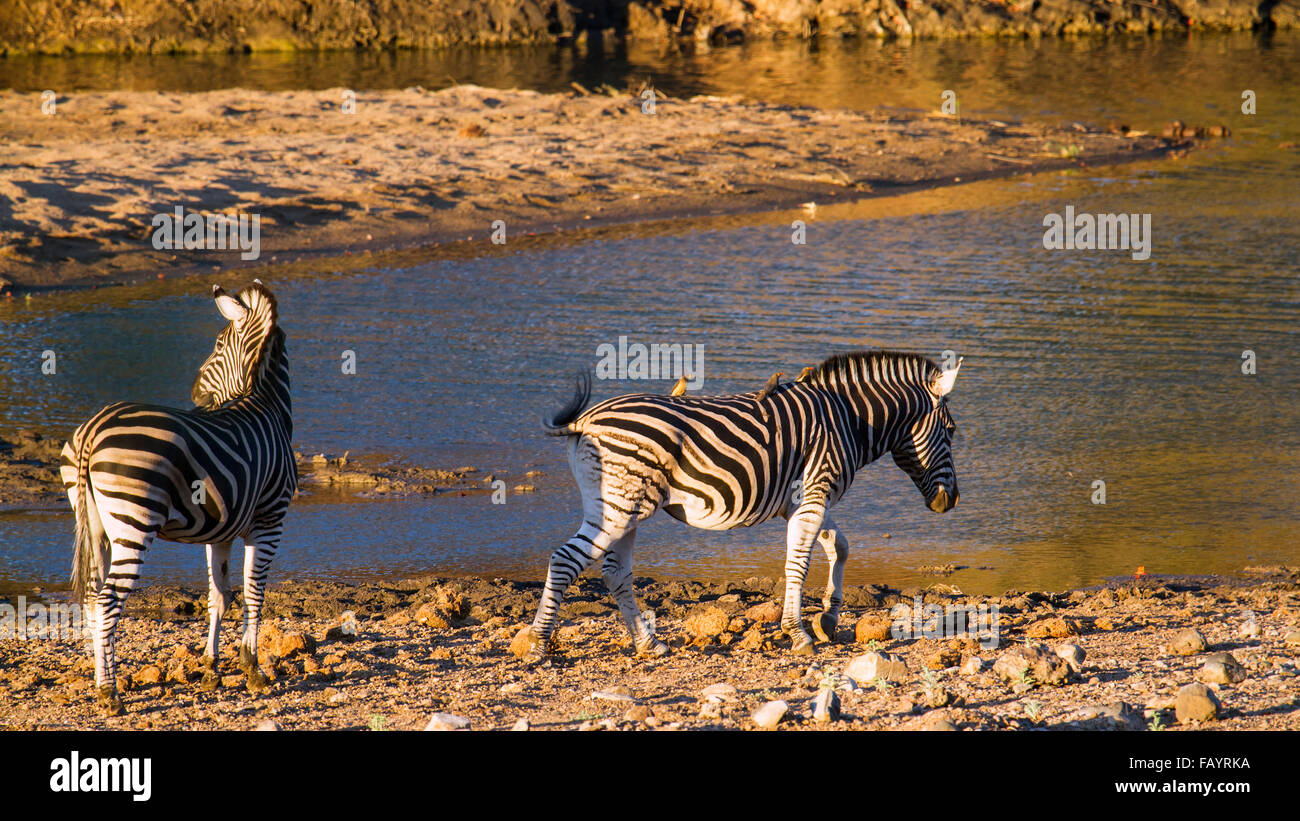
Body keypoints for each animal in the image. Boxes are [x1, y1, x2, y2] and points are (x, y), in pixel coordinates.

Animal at [59, 281, 296, 714]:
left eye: (217, 344)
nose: (195, 393)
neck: (263, 404)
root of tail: (94, 429)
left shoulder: (221, 532)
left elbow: (220, 597)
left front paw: (211, 667)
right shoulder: (270, 520)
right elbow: (255, 593)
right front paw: (253, 668)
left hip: (95, 526)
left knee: (92, 597)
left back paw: (101, 677)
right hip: (134, 524)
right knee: (107, 600)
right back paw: (110, 693)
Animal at [515, 349, 961, 661]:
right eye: (953, 430)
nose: (951, 501)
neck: (847, 420)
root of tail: (586, 419)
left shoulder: (804, 500)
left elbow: (839, 545)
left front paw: (828, 619)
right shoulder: (814, 491)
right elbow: (798, 564)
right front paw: (799, 633)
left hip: (624, 508)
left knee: (614, 571)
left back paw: (648, 643)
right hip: (619, 505)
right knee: (565, 560)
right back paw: (538, 645)